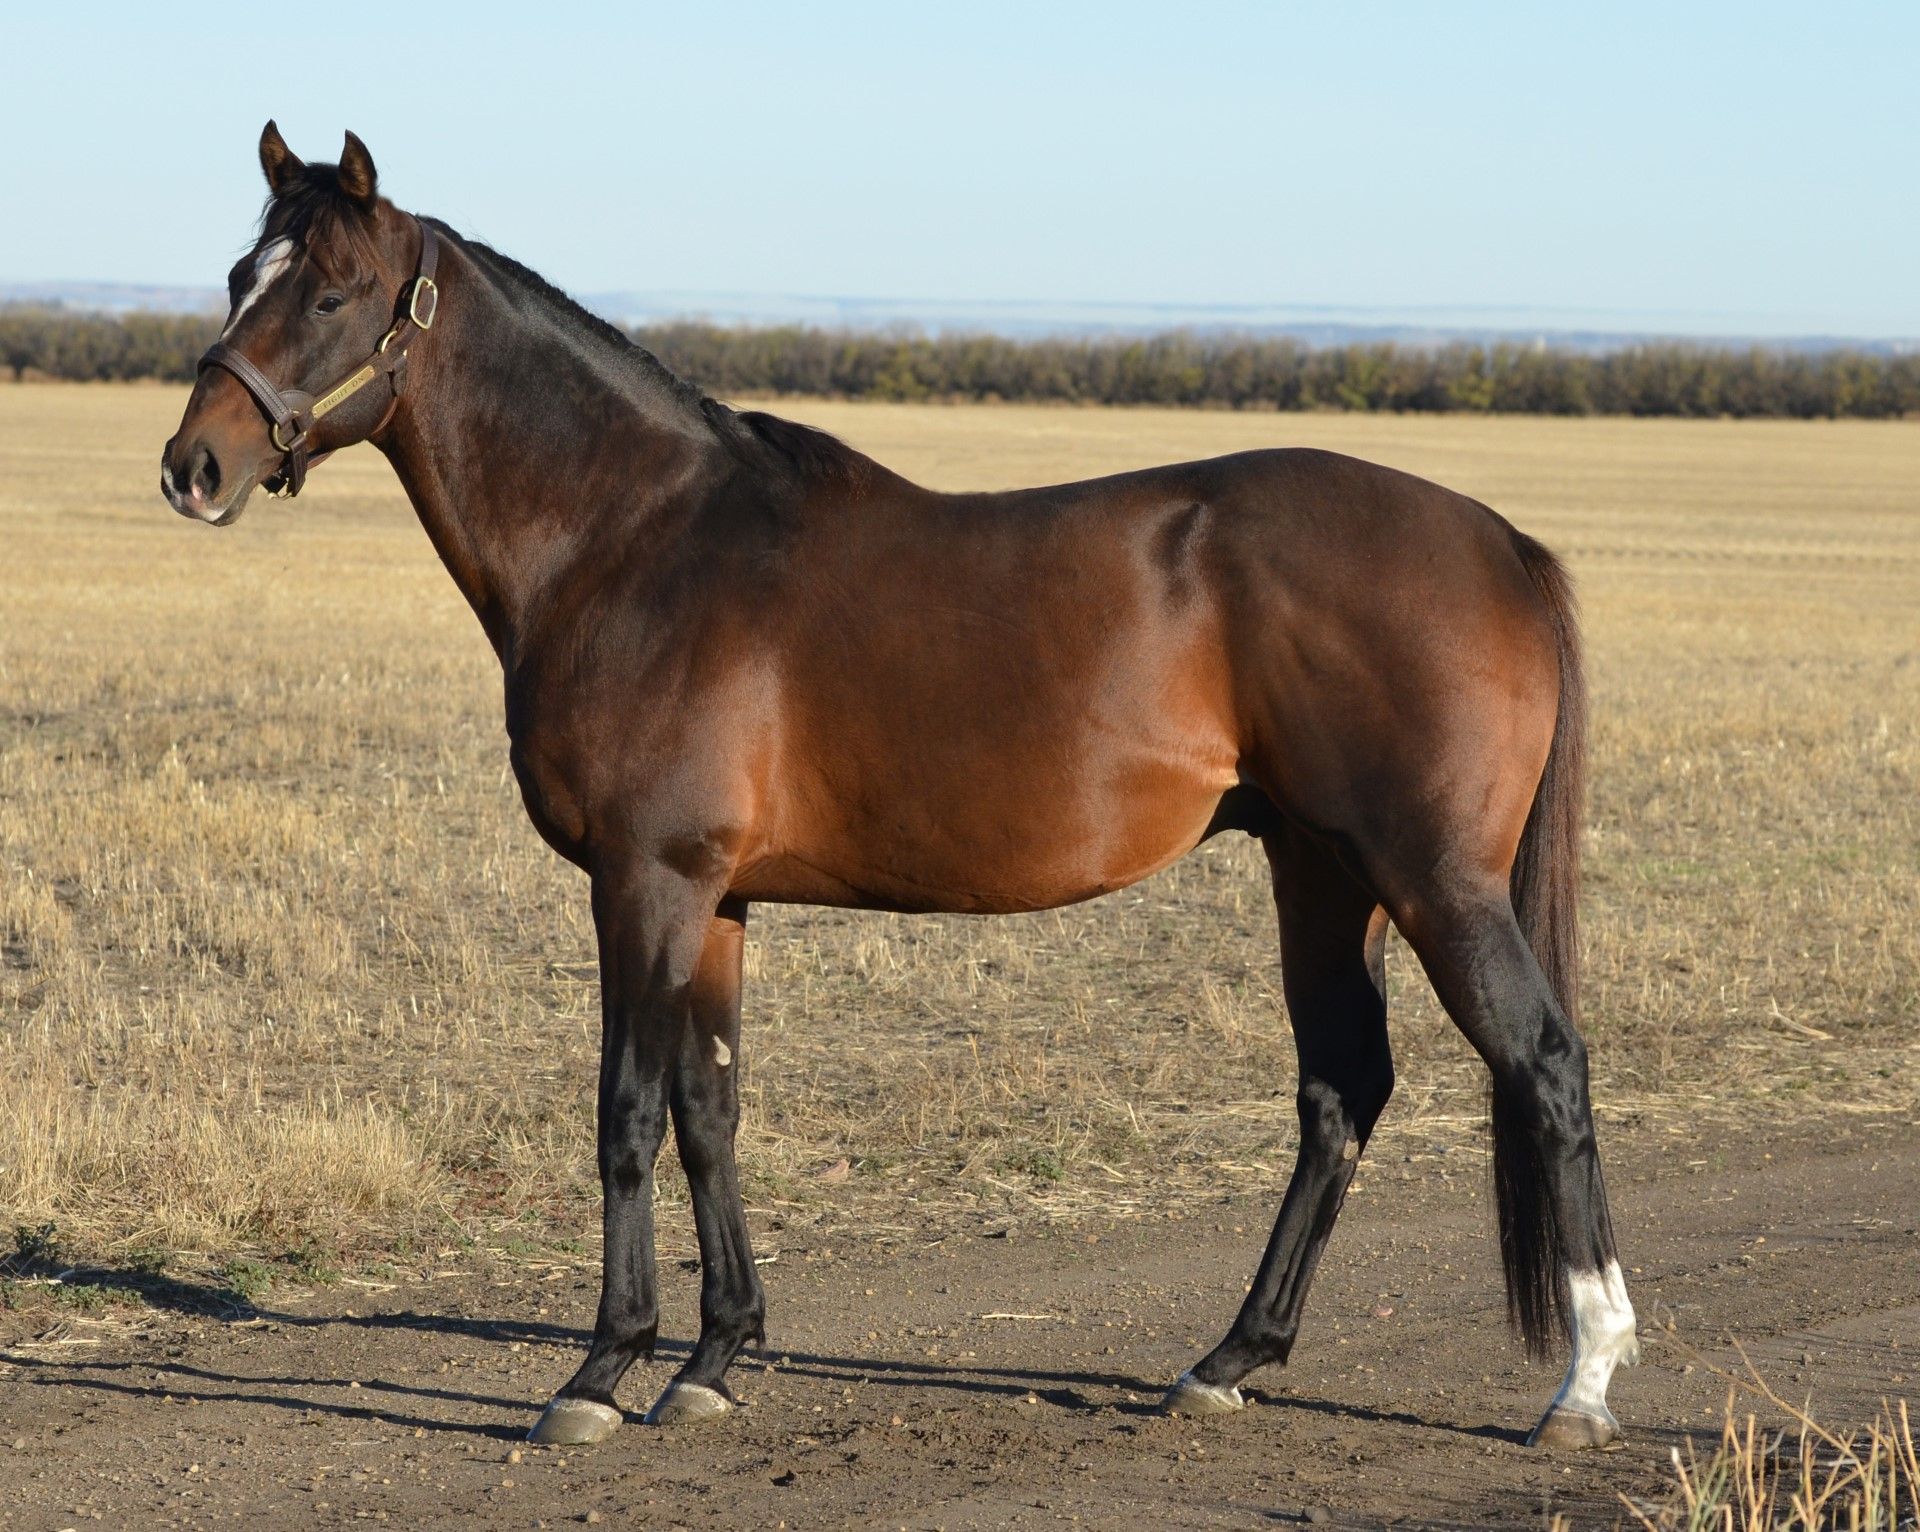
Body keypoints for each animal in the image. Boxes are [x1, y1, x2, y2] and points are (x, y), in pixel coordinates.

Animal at [160, 123, 1640, 1451]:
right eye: (239, 270)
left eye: (333, 291)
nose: (195, 467)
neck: (635, 541)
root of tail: (1498, 543)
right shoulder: (716, 900)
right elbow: (709, 1110)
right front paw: (715, 1358)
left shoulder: (645, 883)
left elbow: (626, 1114)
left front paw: (601, 1368)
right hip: (1322, 873)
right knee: (1341, 1092)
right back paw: (1229, 1359)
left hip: (1432, 879)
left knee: (1544, 1062)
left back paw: (1584, 1380)